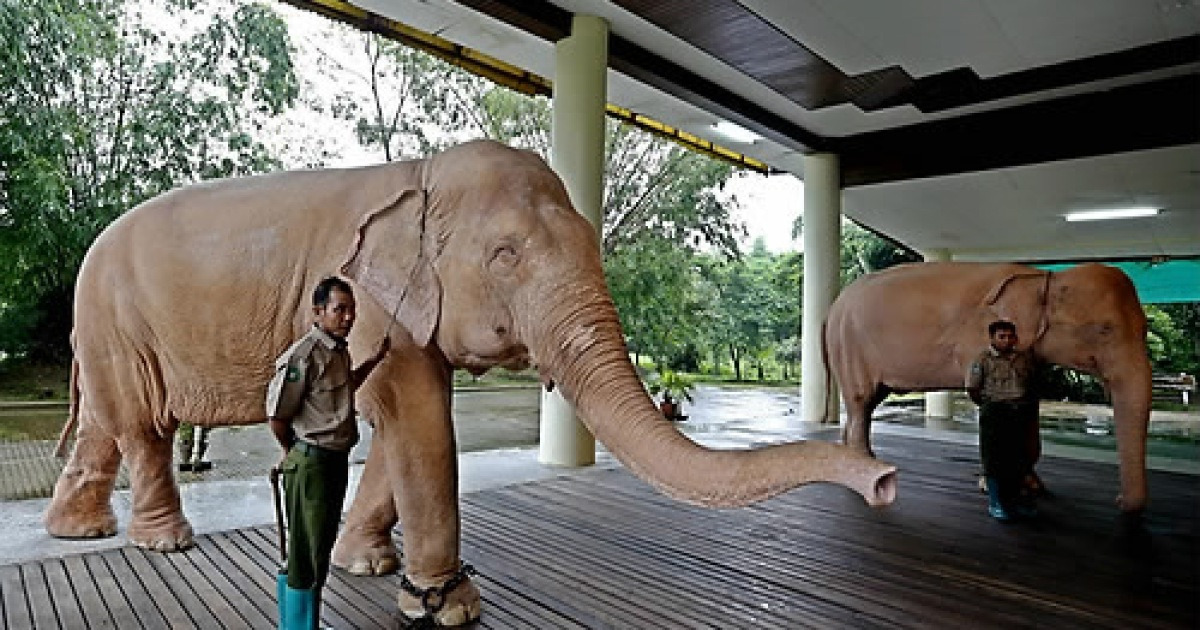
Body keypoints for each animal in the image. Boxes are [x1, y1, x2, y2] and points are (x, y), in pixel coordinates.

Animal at [46, 139, 897, 625]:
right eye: (506, 256)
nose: (885, 482)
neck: (417, 175)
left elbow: (397, 426)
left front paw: (370, 567)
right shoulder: (374, 300)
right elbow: (416, 419)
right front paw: (448, 607)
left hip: (106, 330)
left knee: (102, 428)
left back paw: (74, 533)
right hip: (118, 323)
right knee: (140, 426)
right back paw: (164, 543)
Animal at [825, 261, 1151, 516]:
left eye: (1146, 327)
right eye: (1104, 330)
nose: (1118, 501)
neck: (1044, 278)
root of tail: (831, 310)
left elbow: (1027, 404)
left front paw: (1031, 487)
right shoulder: (977, 339)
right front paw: (992, 485)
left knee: (864, 405)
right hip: (848, 345)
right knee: (861, 401)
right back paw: (865, 468)